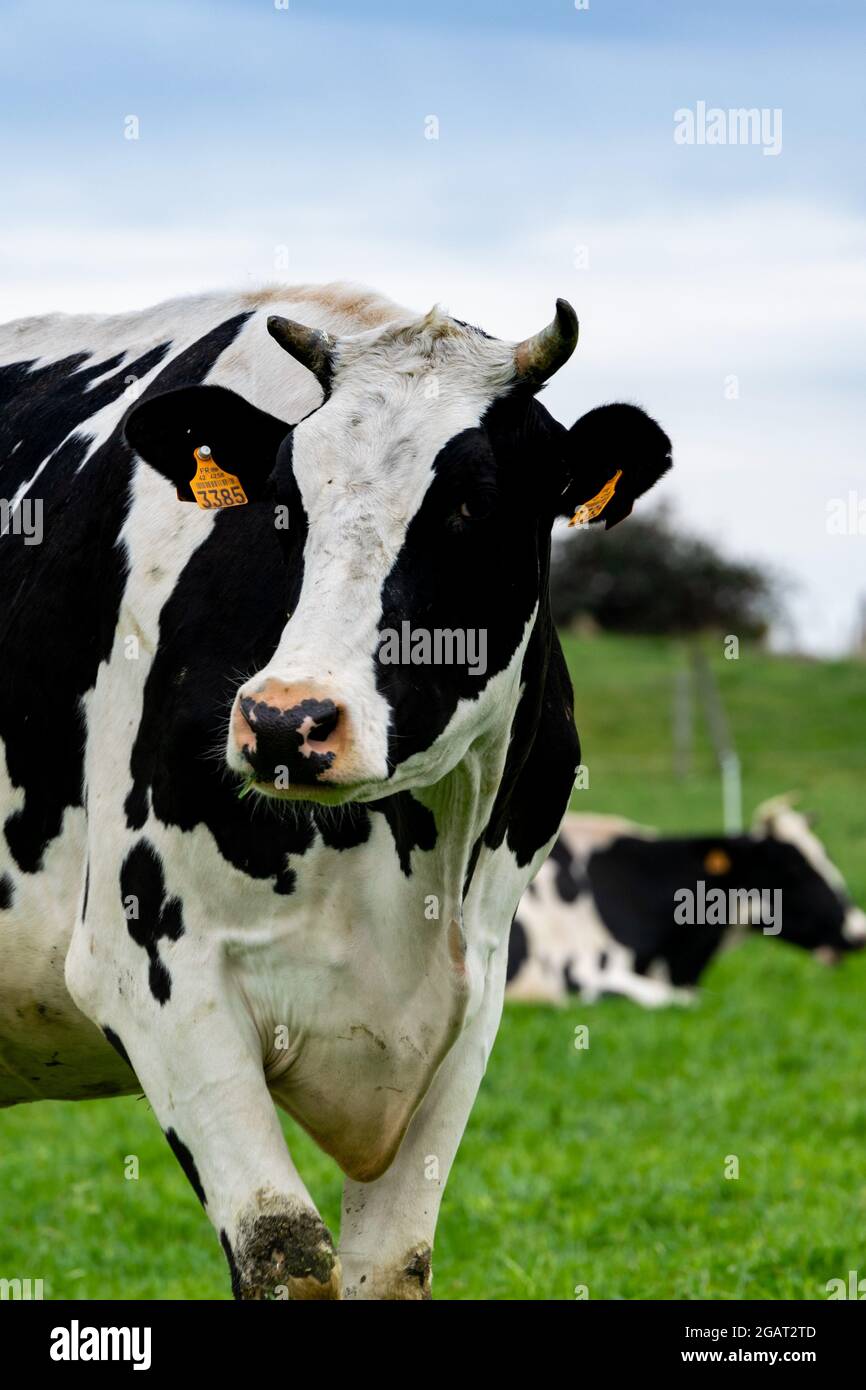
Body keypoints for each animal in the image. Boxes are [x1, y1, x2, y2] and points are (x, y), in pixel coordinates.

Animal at [0, 281, 671, 1299]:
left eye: (472, 503)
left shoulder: (476, 999)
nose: (285, 722)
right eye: (284, 502)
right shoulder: (149, 968)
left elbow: (391, 1266)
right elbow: (286, 1253)